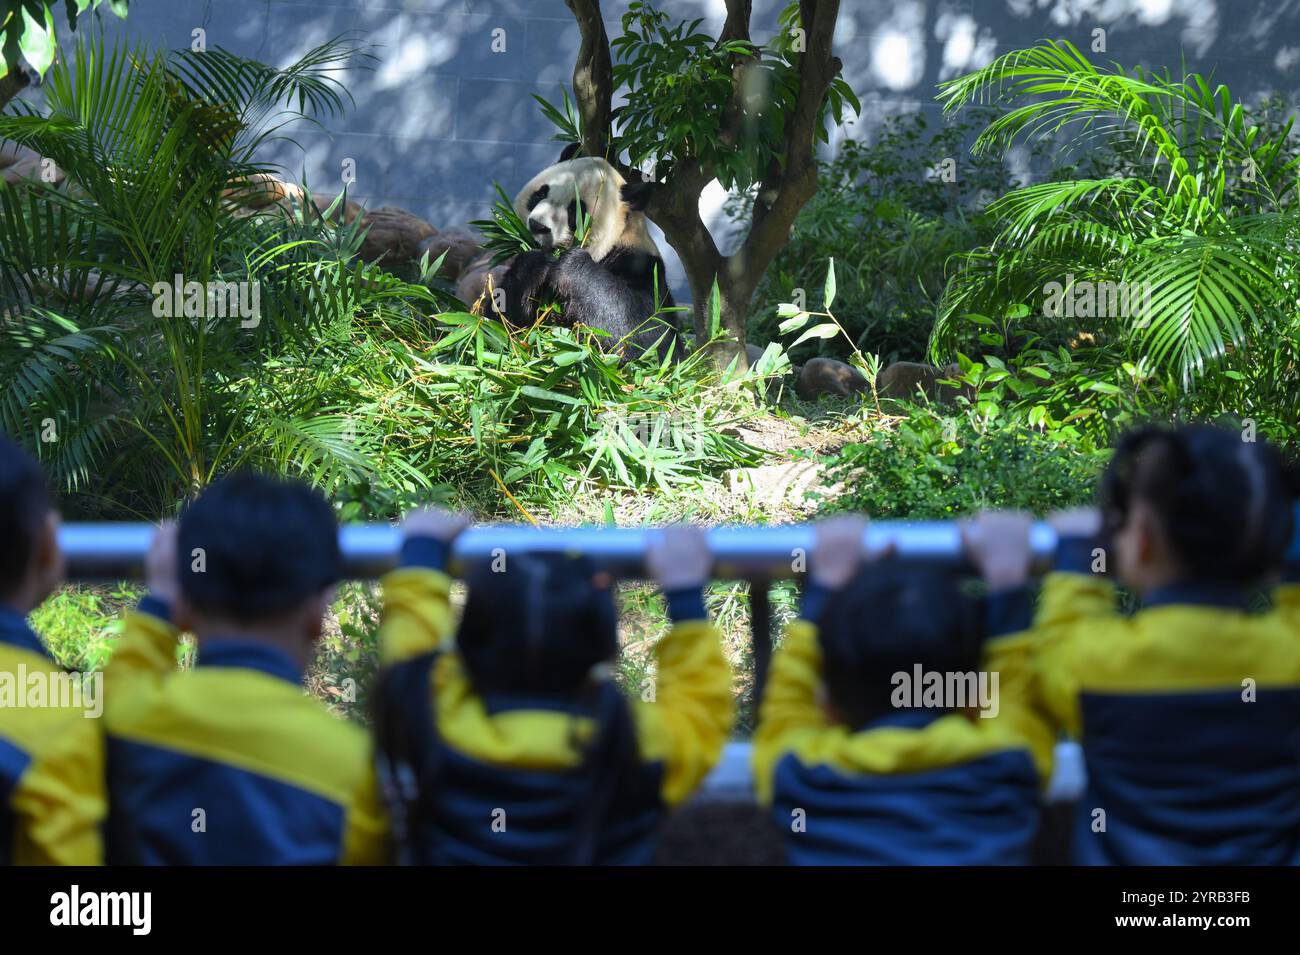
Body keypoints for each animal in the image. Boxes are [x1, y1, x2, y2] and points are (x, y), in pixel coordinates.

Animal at [501, 157, 681, 360]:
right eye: (540, 194)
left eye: (575, 210)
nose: (537, 225)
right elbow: (504, 321)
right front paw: (535, 265)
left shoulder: (643, 267)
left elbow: (649, 334)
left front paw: (572, 266)